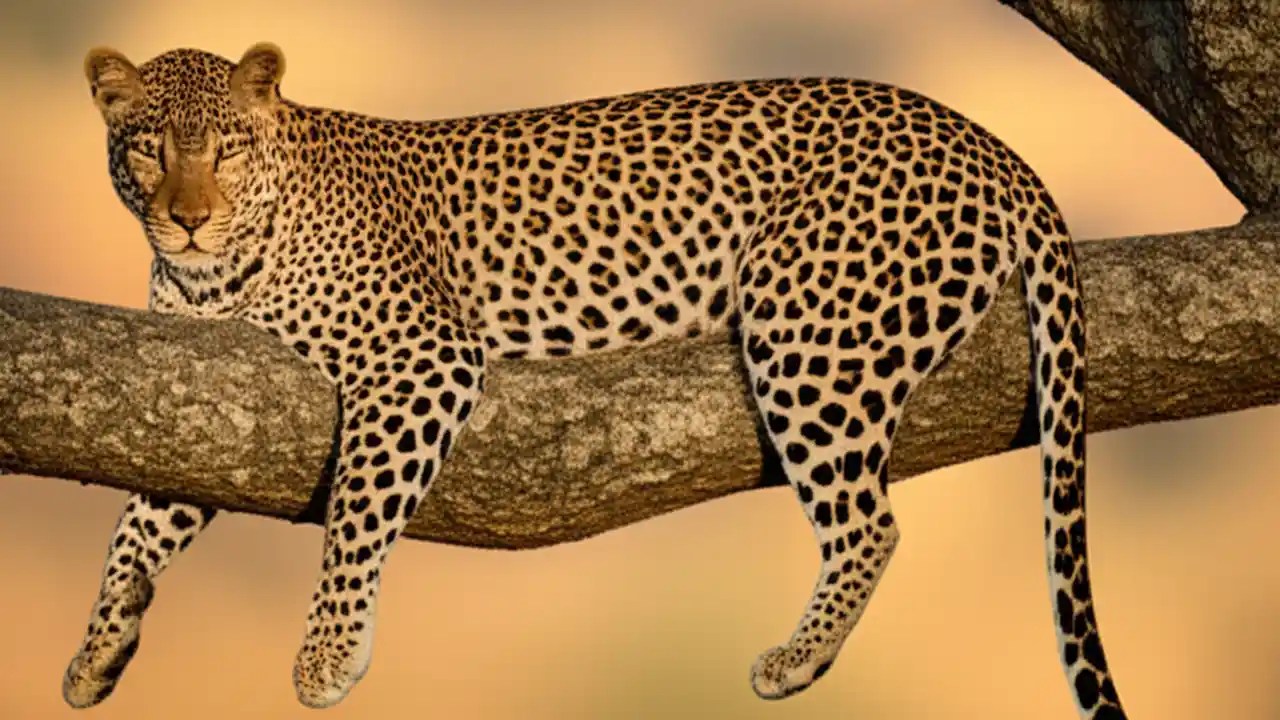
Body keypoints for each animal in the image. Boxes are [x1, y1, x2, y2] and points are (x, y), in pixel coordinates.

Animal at [68, 42, 1128, 719]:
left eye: (227, 148)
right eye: (149, 146)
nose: (189, 219)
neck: (217, 273)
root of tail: (984, 139)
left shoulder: (420, 358)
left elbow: (358, 512)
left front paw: (327, 654)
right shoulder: (203, 403)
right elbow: (137, 526)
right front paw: (99, 646)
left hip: (809, 329)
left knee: (871, 524)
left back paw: (795, 660)